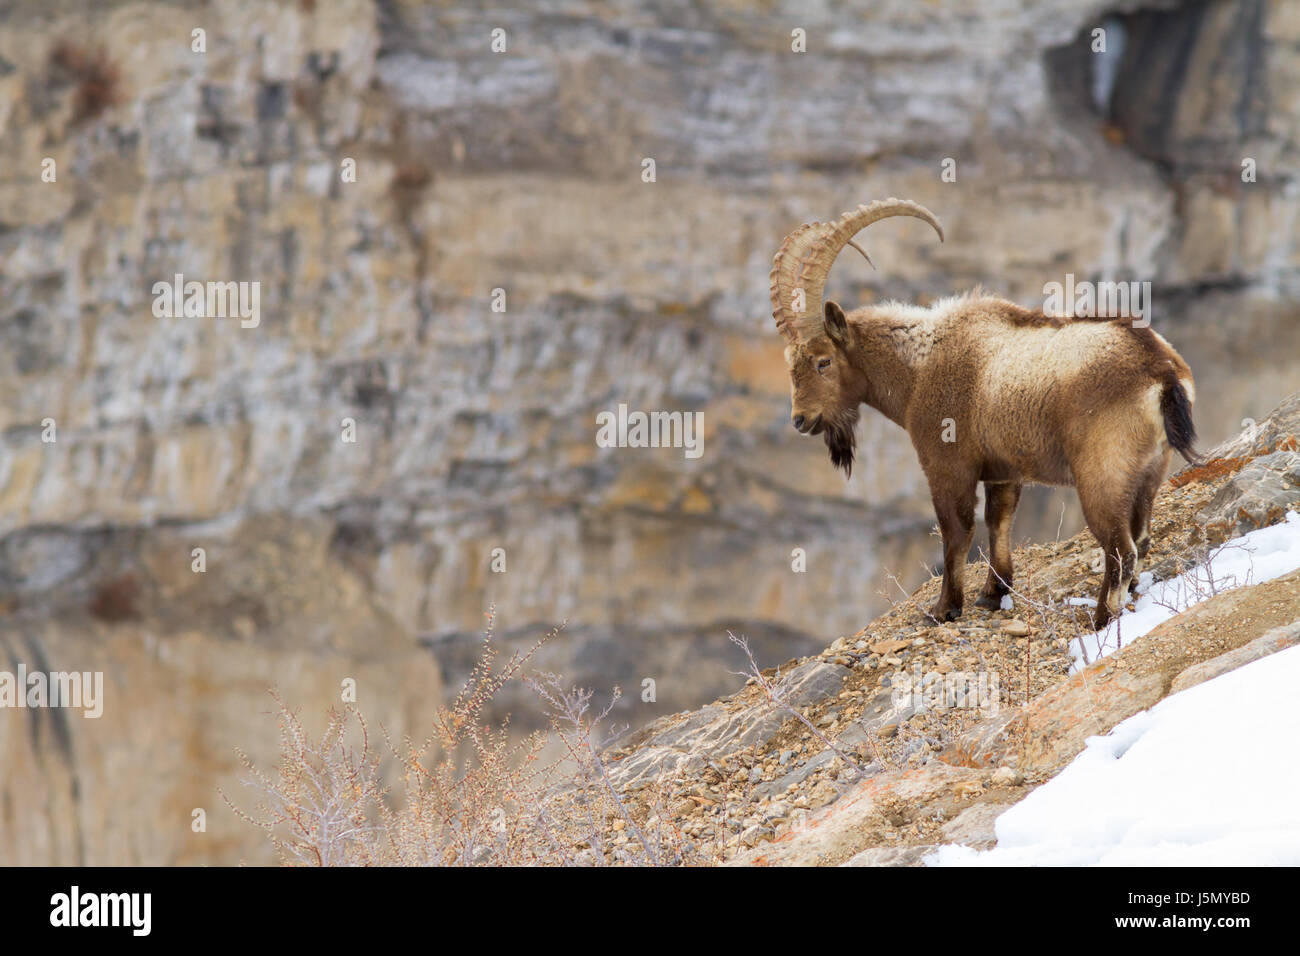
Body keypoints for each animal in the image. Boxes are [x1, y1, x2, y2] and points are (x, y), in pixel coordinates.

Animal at [770, 198, 1199, 629]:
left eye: (823, 361)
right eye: (789, 363)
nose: (800, 420)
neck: (920, 367)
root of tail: (1161, 369)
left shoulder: (947, 465)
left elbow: (956, 531)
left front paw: (944, 608)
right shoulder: (1003, 470)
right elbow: (999, 521)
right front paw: (994, 593)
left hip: (1102, 474)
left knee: (1120, 550)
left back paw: (1100, 621)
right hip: (1149, 471)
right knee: (1141, 538)